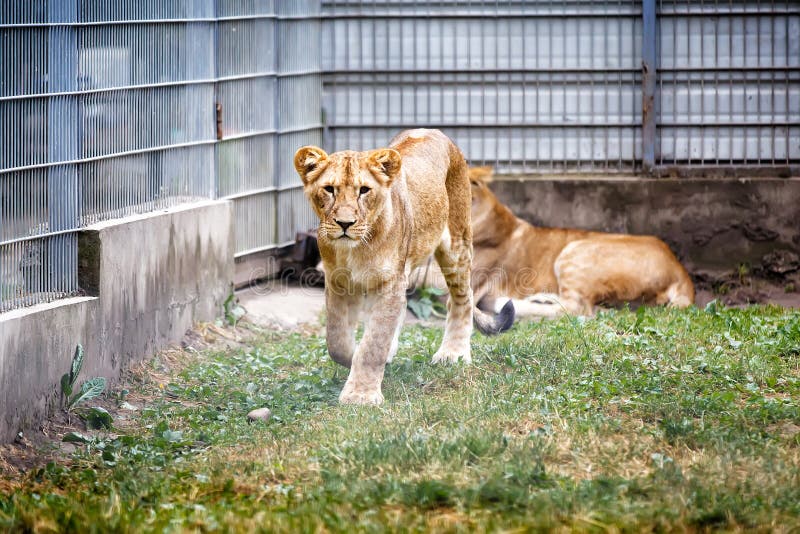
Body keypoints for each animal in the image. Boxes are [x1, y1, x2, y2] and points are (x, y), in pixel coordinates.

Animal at [294, 130, 513, 405]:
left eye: (364, 190)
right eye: (329, 189)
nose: (345, 223)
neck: (354, 250)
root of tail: (436, 132)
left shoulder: (389, 283)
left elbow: (373, 344)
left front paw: (361, 395)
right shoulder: (339, 282)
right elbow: (337, 340)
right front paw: (357, 360)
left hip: (457, 244)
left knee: (462, 298)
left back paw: (453, 354)